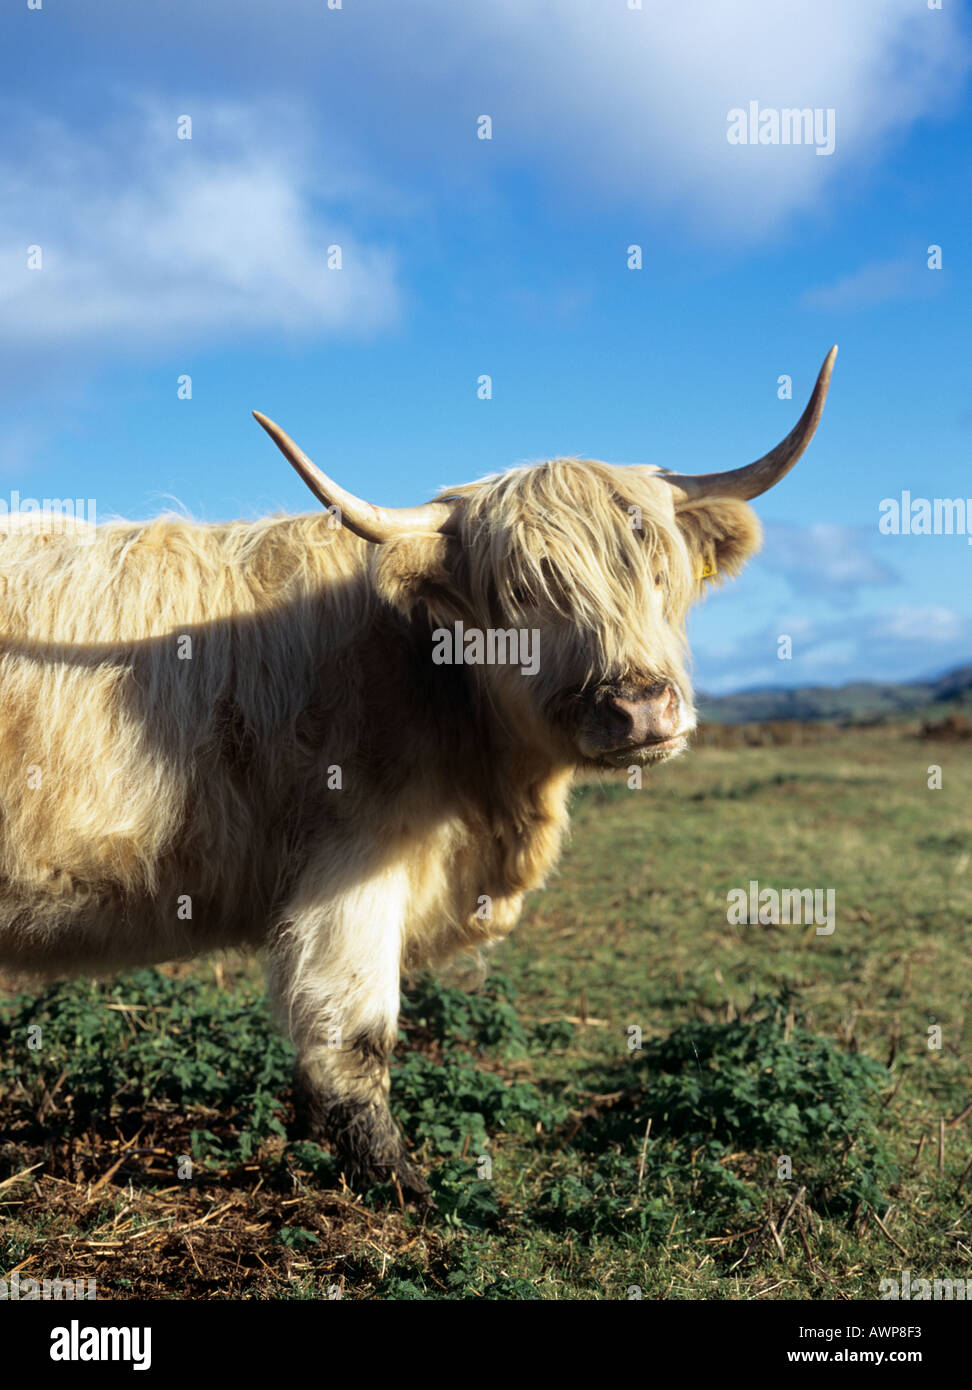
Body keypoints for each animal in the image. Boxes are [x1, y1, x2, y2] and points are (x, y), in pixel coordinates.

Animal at [0, 348, 836, 1198]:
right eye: (524, 592)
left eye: (659, 571)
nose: (641, 709)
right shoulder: (352, 866)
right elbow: (353, 1034)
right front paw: (398, 1180)